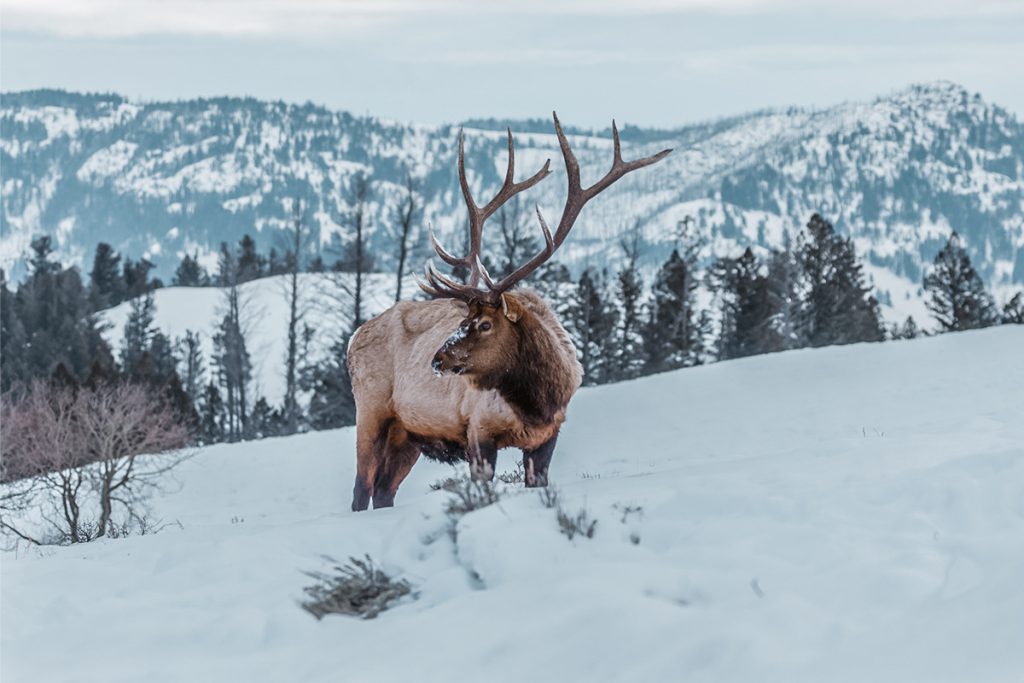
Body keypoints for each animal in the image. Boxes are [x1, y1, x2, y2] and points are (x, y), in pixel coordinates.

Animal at [347, 113, 671, 510]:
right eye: (463, 320)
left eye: (485, 324)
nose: (437, 359)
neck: (537, 400)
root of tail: (353, 338)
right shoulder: (478, 430)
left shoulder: (548, 436)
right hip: (371, 411)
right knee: (361, 489)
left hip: (408, 433)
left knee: (383, 490)